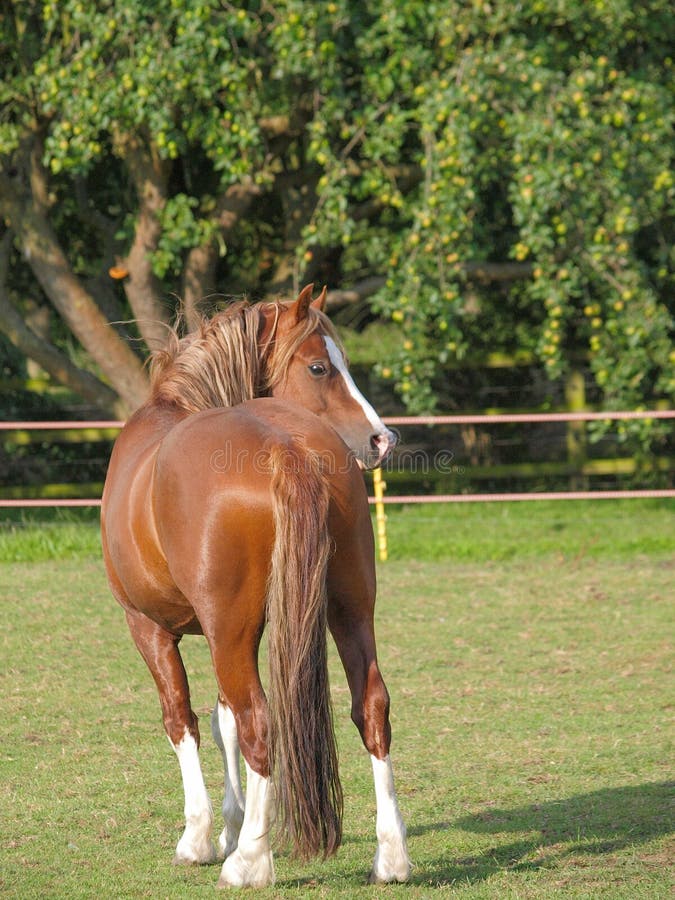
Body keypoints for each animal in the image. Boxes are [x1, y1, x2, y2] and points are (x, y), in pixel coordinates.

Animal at [100, 284, 411, 888]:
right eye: (319, 366)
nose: (383, 439)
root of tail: (284, 448)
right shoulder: (233, 630)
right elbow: (222, 724)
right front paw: (230, 824)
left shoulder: (150, 627)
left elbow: (184, 720)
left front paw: (202, 837)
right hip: (347, 611)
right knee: (371, 707)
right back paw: (391, 857)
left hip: (227, 632)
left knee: (260, 724)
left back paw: (249, 862)